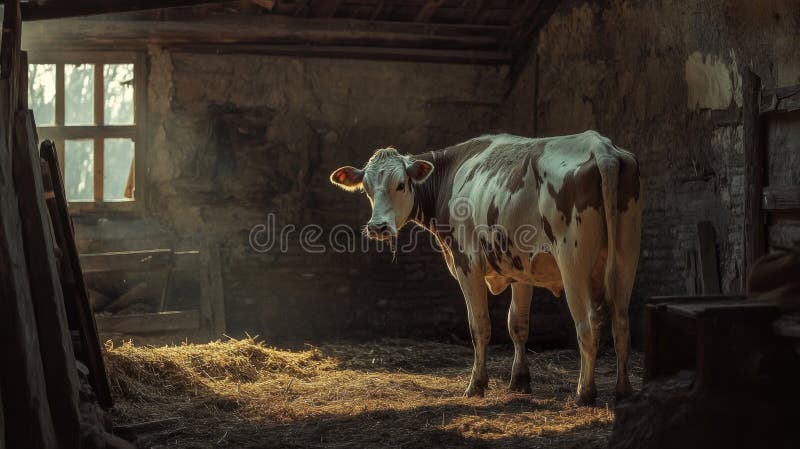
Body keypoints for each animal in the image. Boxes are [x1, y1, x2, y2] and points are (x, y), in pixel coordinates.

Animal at [330, 131, 641, 405]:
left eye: (401, 184)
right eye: (367, 189)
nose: (378, 227)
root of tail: (601, 147)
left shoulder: (466, 264)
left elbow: (479, 326)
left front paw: (476, 385)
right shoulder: (521, 267)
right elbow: (517, 324)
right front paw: (519, 381)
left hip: (573, 263)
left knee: (587, 326)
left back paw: (584, 393)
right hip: (626, 256)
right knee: (622, 323)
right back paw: (623, 390)